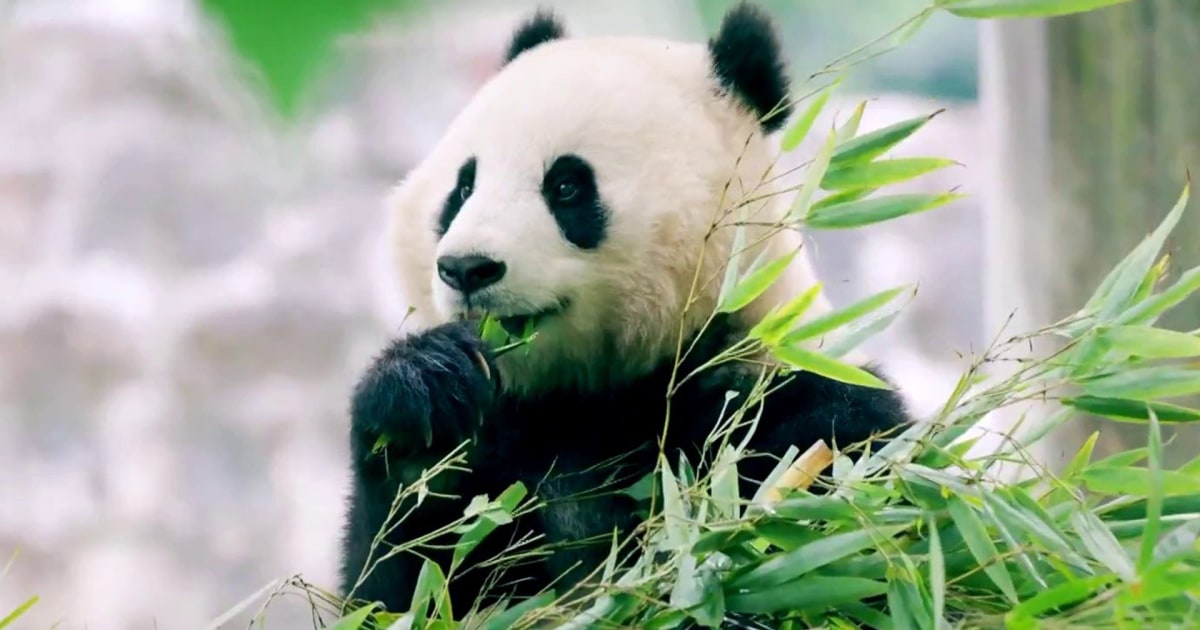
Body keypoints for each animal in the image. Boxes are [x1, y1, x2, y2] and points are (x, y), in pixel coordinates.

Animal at [339, 1, 911, 616]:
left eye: (566, 186)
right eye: (463, 187)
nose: (467, 268)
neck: (590, 394)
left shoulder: (787, 408)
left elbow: (832, 546)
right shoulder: (508, 438)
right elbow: (400, 586)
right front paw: (422, 399)